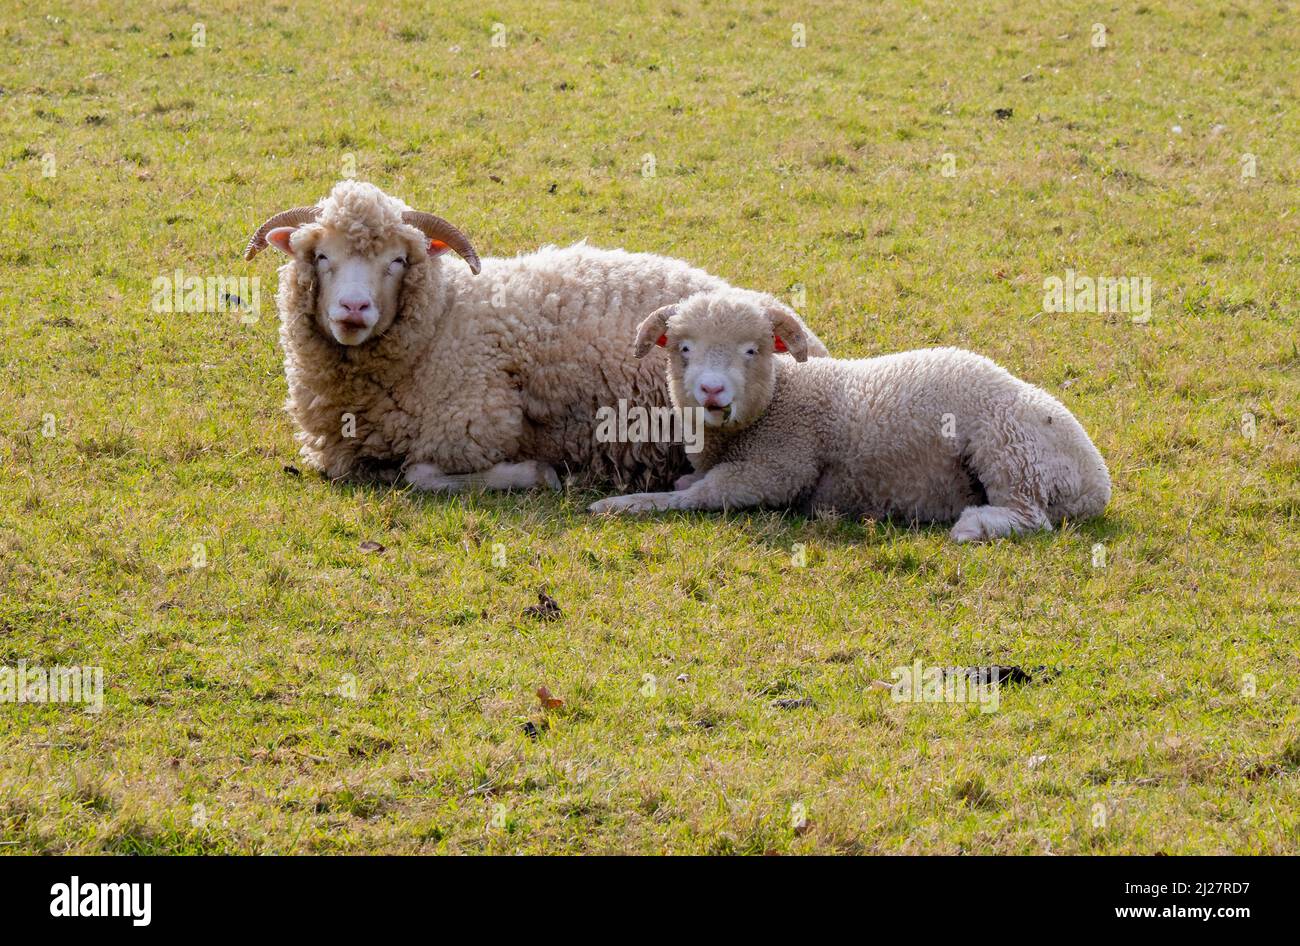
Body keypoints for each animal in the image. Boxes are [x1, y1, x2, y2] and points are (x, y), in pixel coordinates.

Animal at [243, 181, 829, 492]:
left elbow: (420, 474)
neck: (442, 323)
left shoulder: (477, 423)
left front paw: (537, 473)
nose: (353, 308)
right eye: (322, 256)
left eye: (397, 261)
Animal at [587, 288, 1111, 542]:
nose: (711, 390)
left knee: (1030, 517)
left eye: (753, 349)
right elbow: (690, 484)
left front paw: (621, 505)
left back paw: (972, 526)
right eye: (683, 348)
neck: (778, 400)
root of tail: (1095, 480)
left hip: (1008, 450)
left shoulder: (771, 472)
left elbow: (694, 497)